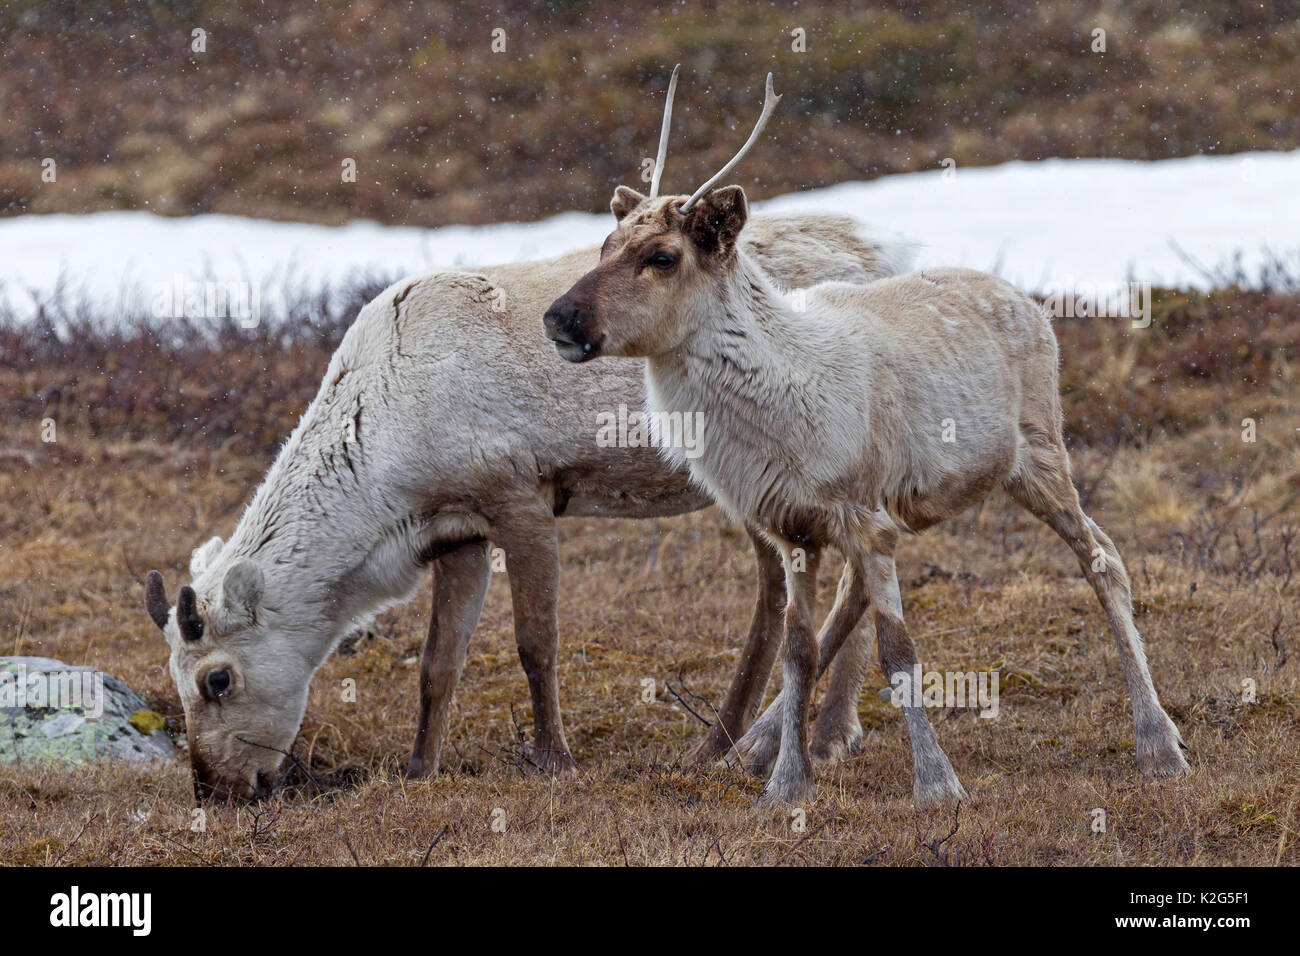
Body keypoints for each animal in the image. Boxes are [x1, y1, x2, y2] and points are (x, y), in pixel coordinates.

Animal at [141, 68, 916, 800]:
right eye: (175, 678)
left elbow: (534, 643)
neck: (388, 481)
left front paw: (553, 759)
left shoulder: (522, 495)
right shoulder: (456, 533)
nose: (214, 790)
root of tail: (891, 256)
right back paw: (784, 740)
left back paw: (778, 742)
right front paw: (420, 769)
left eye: (216, 679)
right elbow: (437, 664)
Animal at [543, 74, 1192, 805]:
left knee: (1104, 558)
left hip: (1039, 455)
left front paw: (936, 783)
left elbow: (900, 649)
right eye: (602, 246)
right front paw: (786, 784)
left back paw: (1159, 743)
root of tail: (1029, 302)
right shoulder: (794, 529)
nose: (559, 317)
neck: (774, 412)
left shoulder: (863, 517)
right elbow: (797, 651)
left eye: (663, 256)